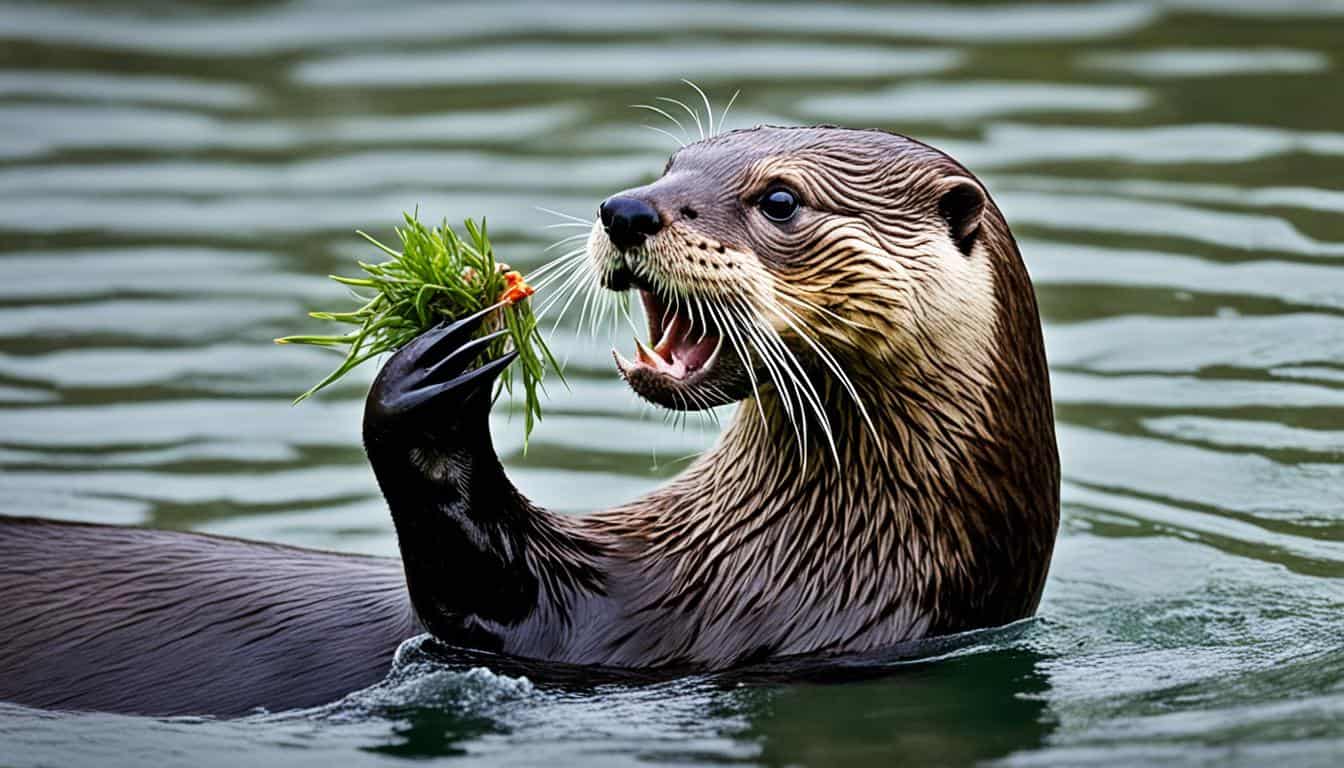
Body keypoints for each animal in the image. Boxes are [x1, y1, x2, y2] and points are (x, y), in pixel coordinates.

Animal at [0, 126, 1057, 716]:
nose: (628, 209)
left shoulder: (596, 626)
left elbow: (474, 578)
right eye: (670, 165)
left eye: (780, 198)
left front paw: (444, 368)